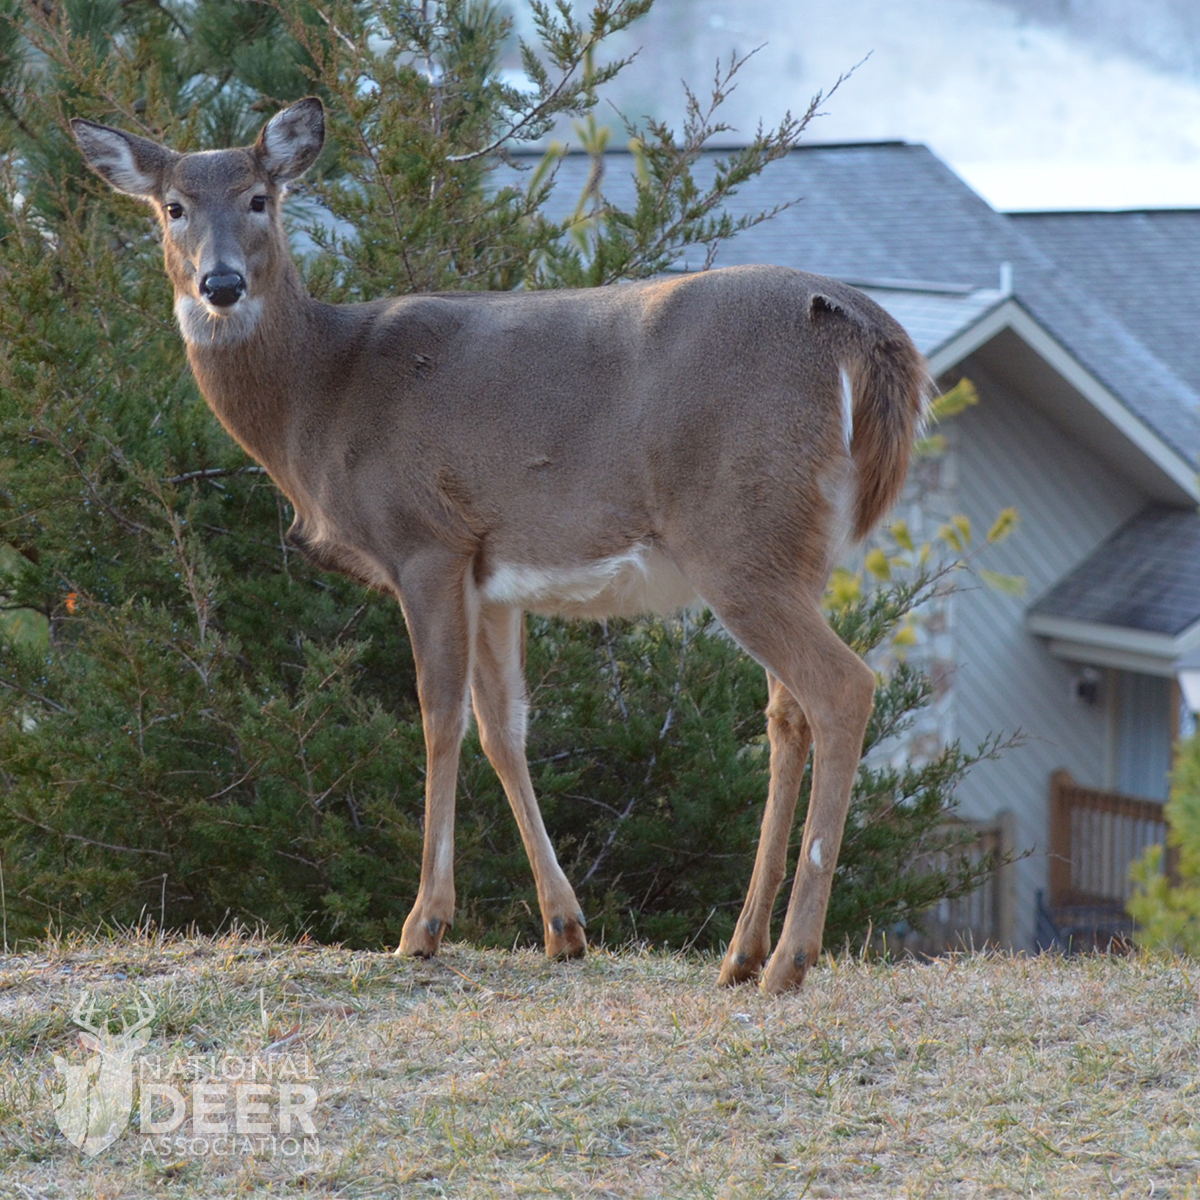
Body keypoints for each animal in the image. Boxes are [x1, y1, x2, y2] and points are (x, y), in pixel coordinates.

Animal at [71, 97, 929, 994]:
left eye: (259, 199)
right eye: (173, 207)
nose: (221, 283)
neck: (321, 399)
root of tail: (868, 333)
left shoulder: (426, 540)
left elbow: (438, 716)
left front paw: (421, 925)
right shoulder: (492, 574)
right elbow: (503, 728)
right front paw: (563, 927)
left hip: (737, 535)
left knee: (843, 688)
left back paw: (790, 958)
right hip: (791, 547)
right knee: (786, 714)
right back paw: (740, 951)